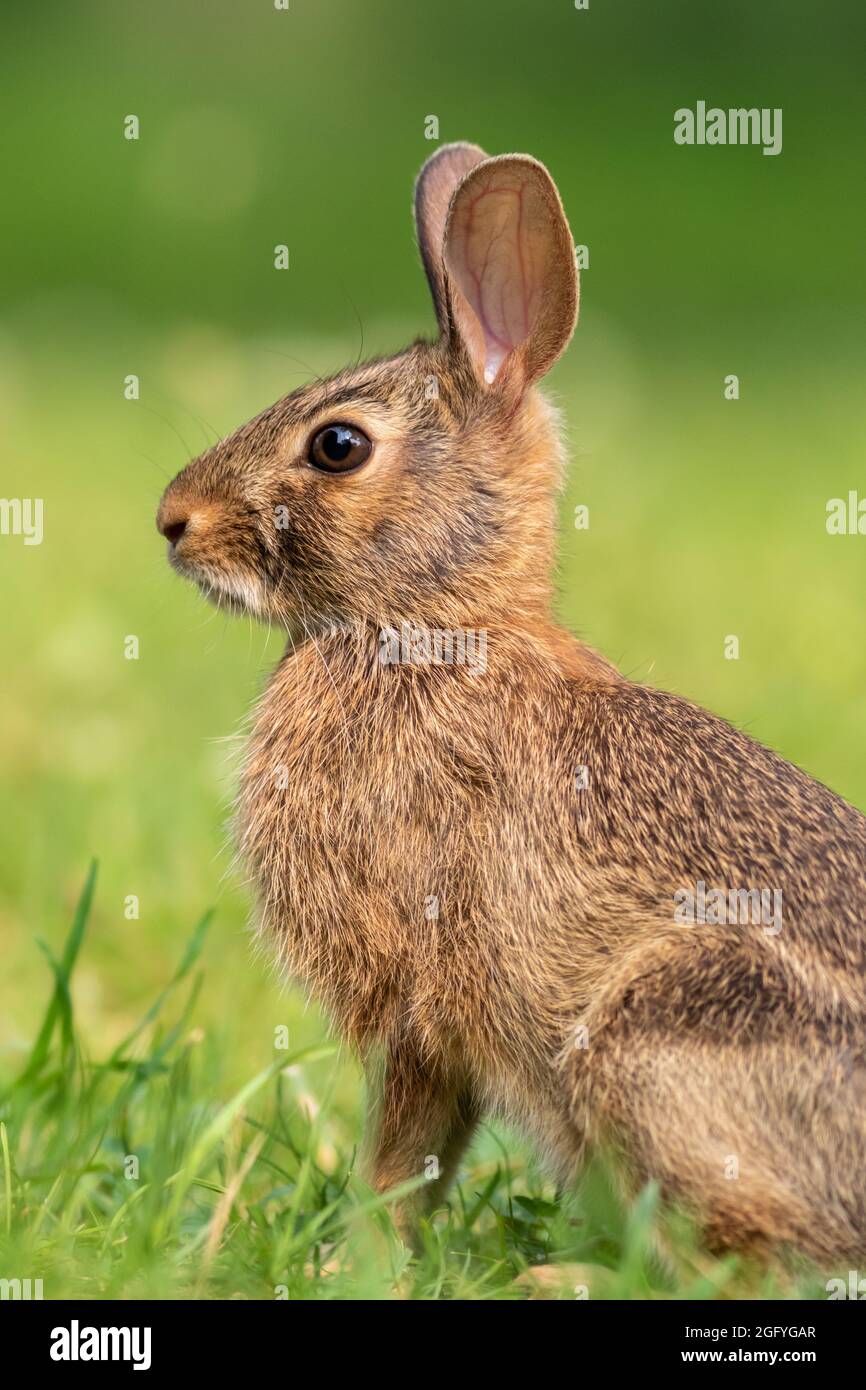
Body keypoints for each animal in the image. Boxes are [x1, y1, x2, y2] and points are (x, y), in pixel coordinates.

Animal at [157, 142, 866, 1268]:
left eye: (337, 446)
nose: (172, 519)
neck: (432, 626)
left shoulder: (420, 997)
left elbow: (404, 1153)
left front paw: (354, 1260)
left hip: (654, 1039)